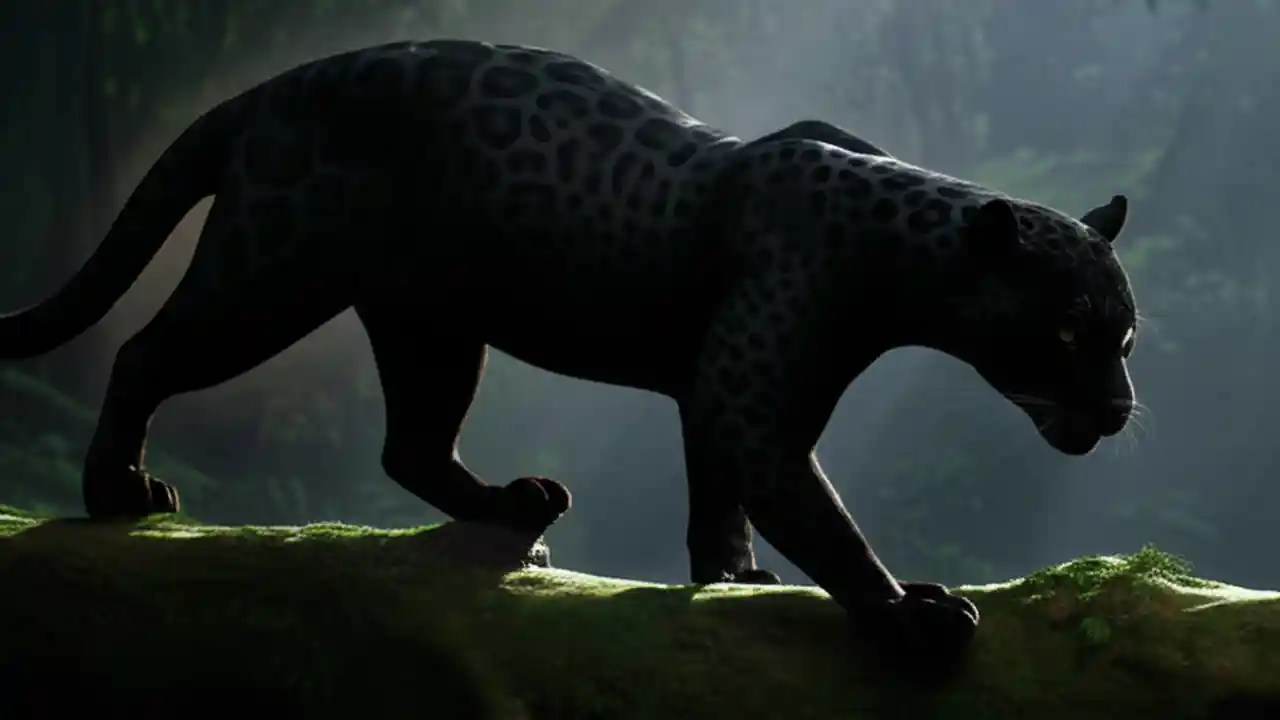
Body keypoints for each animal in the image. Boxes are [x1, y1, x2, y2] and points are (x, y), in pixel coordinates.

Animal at [0, 39, 1138, 663]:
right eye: (1067, 331)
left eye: (1124, 334)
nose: (1122, 410)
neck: (894, 250)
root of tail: (264, 91)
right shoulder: (748, 400)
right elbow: (819, 517)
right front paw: (909, 617)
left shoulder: (715, 397)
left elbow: (718, 499)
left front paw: (734, 579)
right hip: (269, 271)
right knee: (144, 353)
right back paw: (119, 492)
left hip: (431, 325)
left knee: (410, 445)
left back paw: (515, 510)